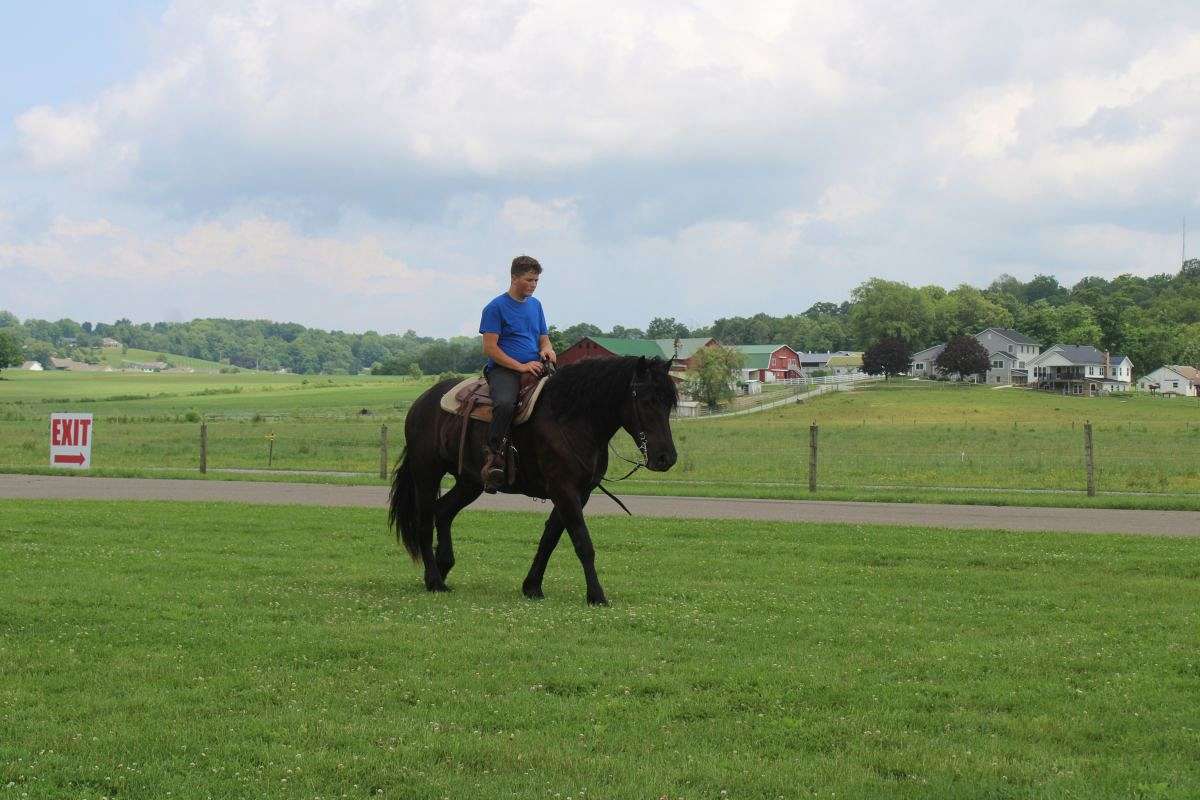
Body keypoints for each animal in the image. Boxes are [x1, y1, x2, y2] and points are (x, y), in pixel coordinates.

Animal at [388, 355, 679, 605]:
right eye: (647, 401)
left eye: (668, 403)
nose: (666, 458)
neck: (571, 418)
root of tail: (422, 401)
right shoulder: (564, 490)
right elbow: (582, 542)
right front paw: (596, 596)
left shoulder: (578, 493)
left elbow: (550, 538)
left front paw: (532, 587)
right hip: (427, 474)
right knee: (425, 523)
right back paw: (435, 580)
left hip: (469, 483)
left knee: (443, 512)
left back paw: (443, 567)